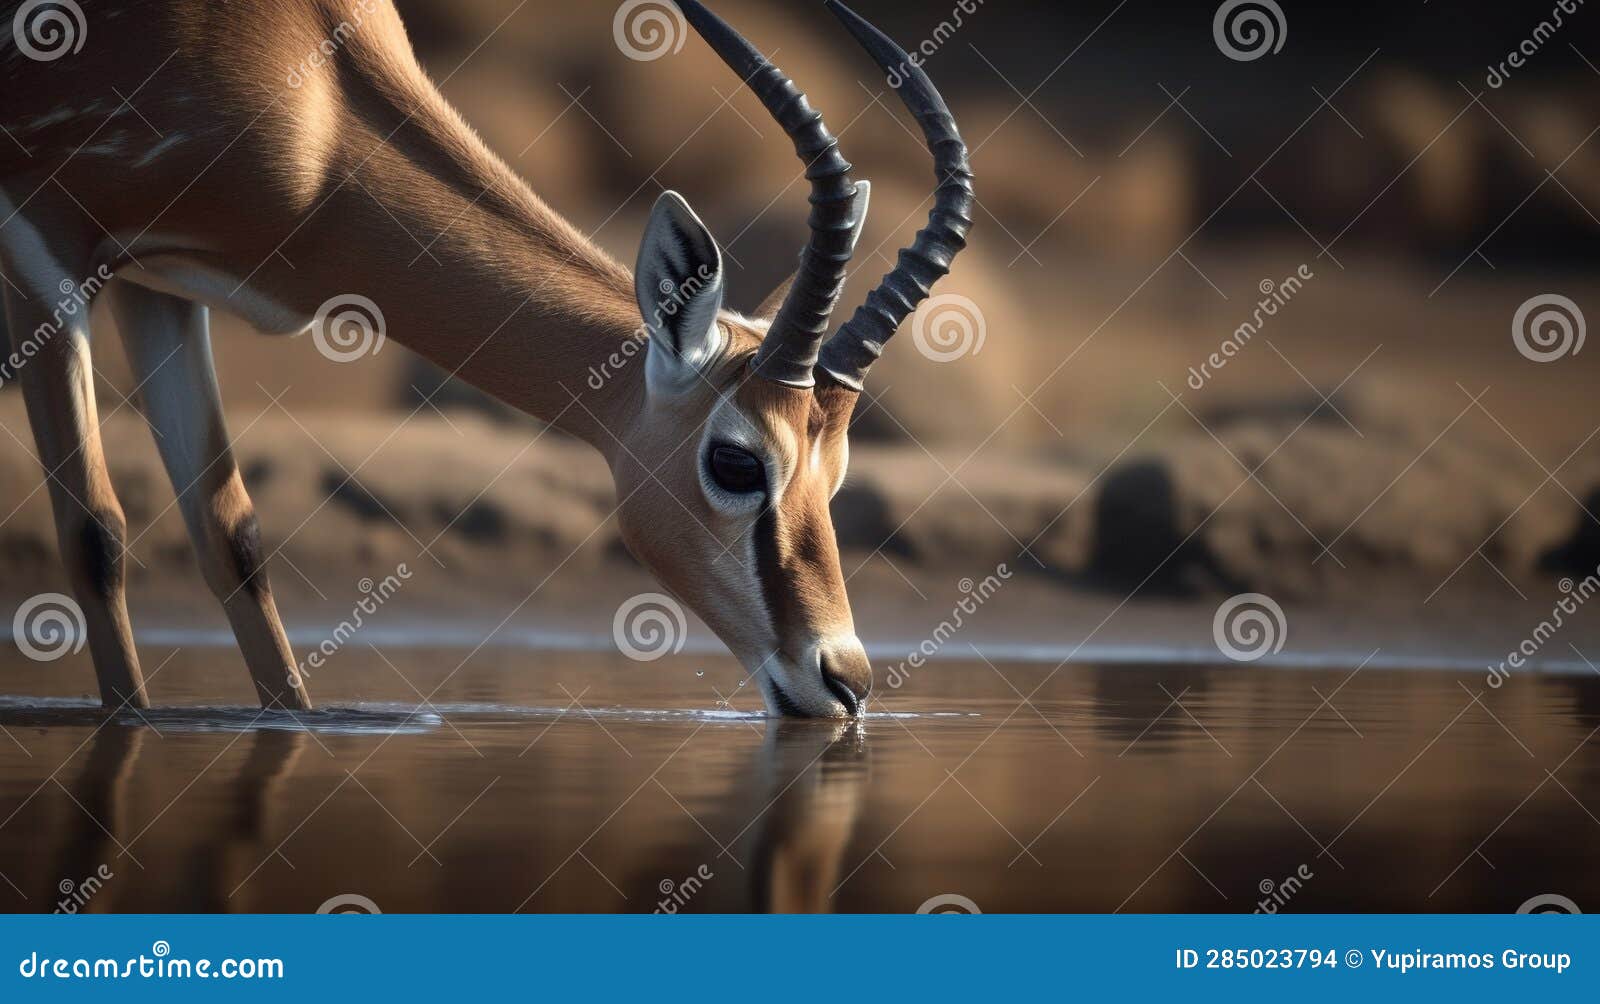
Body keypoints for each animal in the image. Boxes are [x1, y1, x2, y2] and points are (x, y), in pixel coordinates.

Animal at [0, 0, 972, 718]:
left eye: (836, 472)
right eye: (736, 462)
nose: (846, 681)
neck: (316, 106)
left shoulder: (157, 287)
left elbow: (230, 534)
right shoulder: (45, 252)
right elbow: (95, 533)